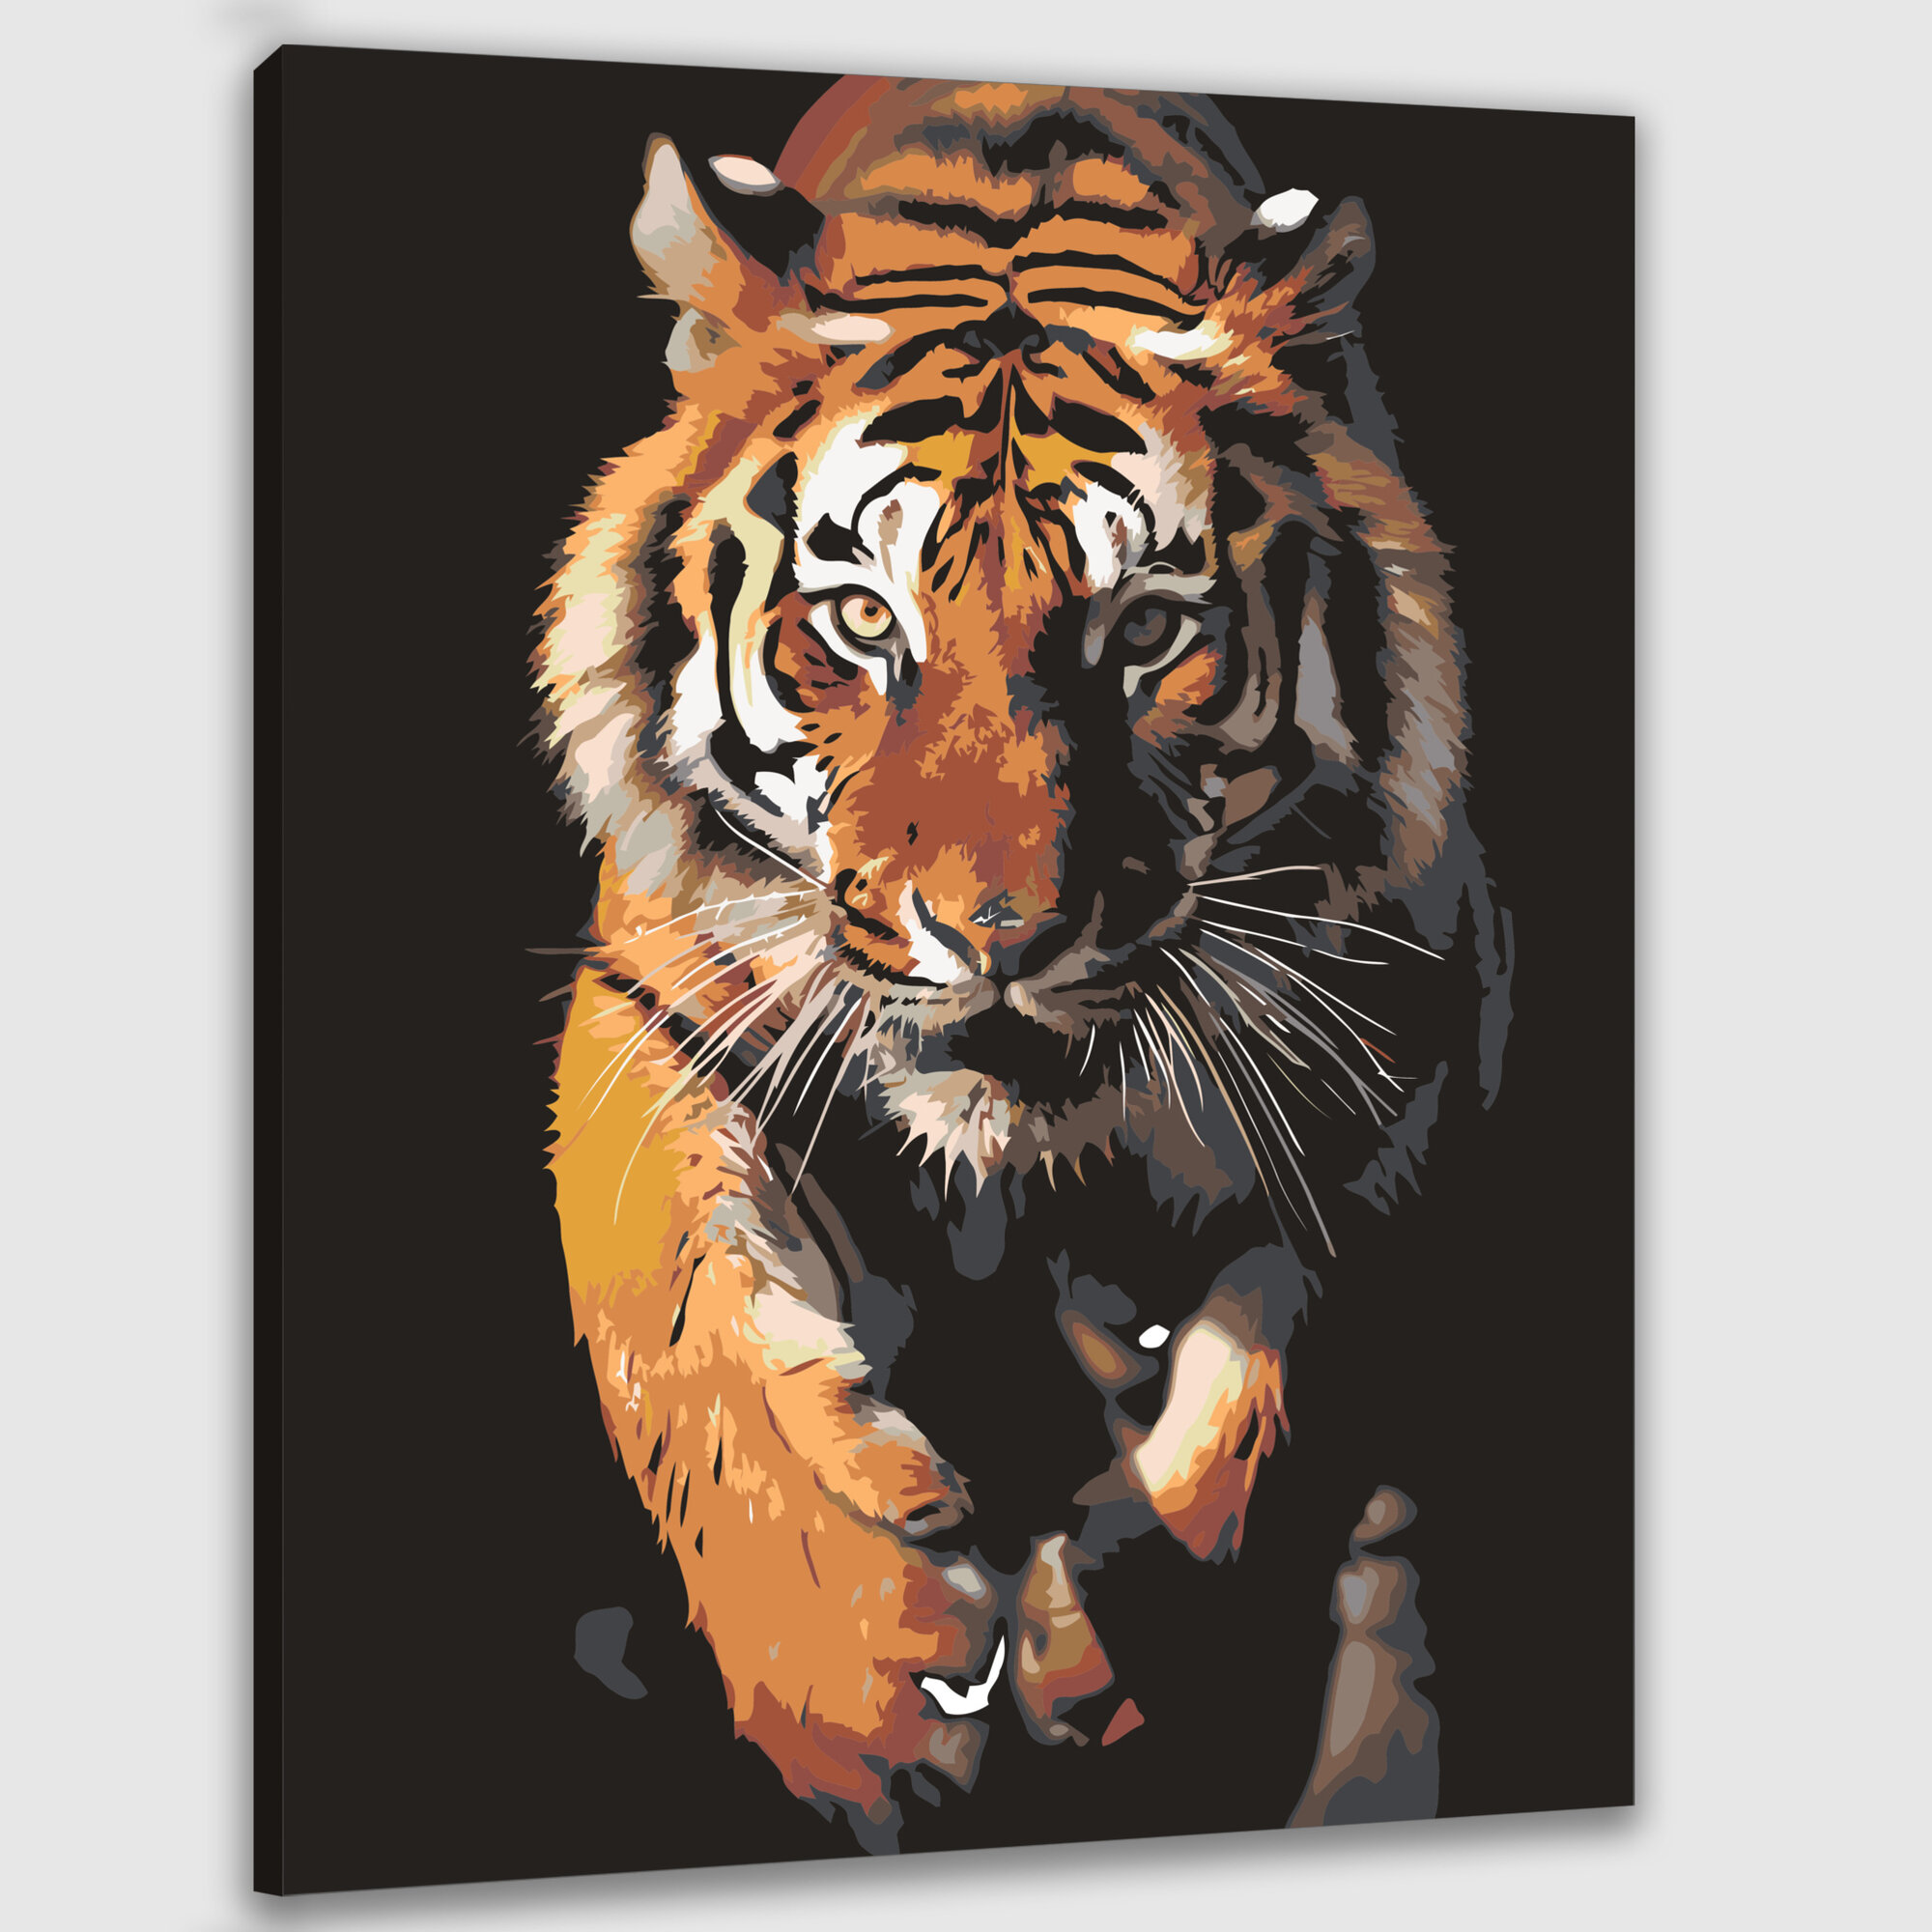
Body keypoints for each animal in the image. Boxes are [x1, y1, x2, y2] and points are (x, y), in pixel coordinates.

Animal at [533, 75, 1507, 1849]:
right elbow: (671, 1304)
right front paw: (856, 1668)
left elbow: (1288, 1365)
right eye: (859, 623)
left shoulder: (1413, 1021)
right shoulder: (657, 994)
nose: (996, 932)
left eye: (1148, 634)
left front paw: (1117, 1661)